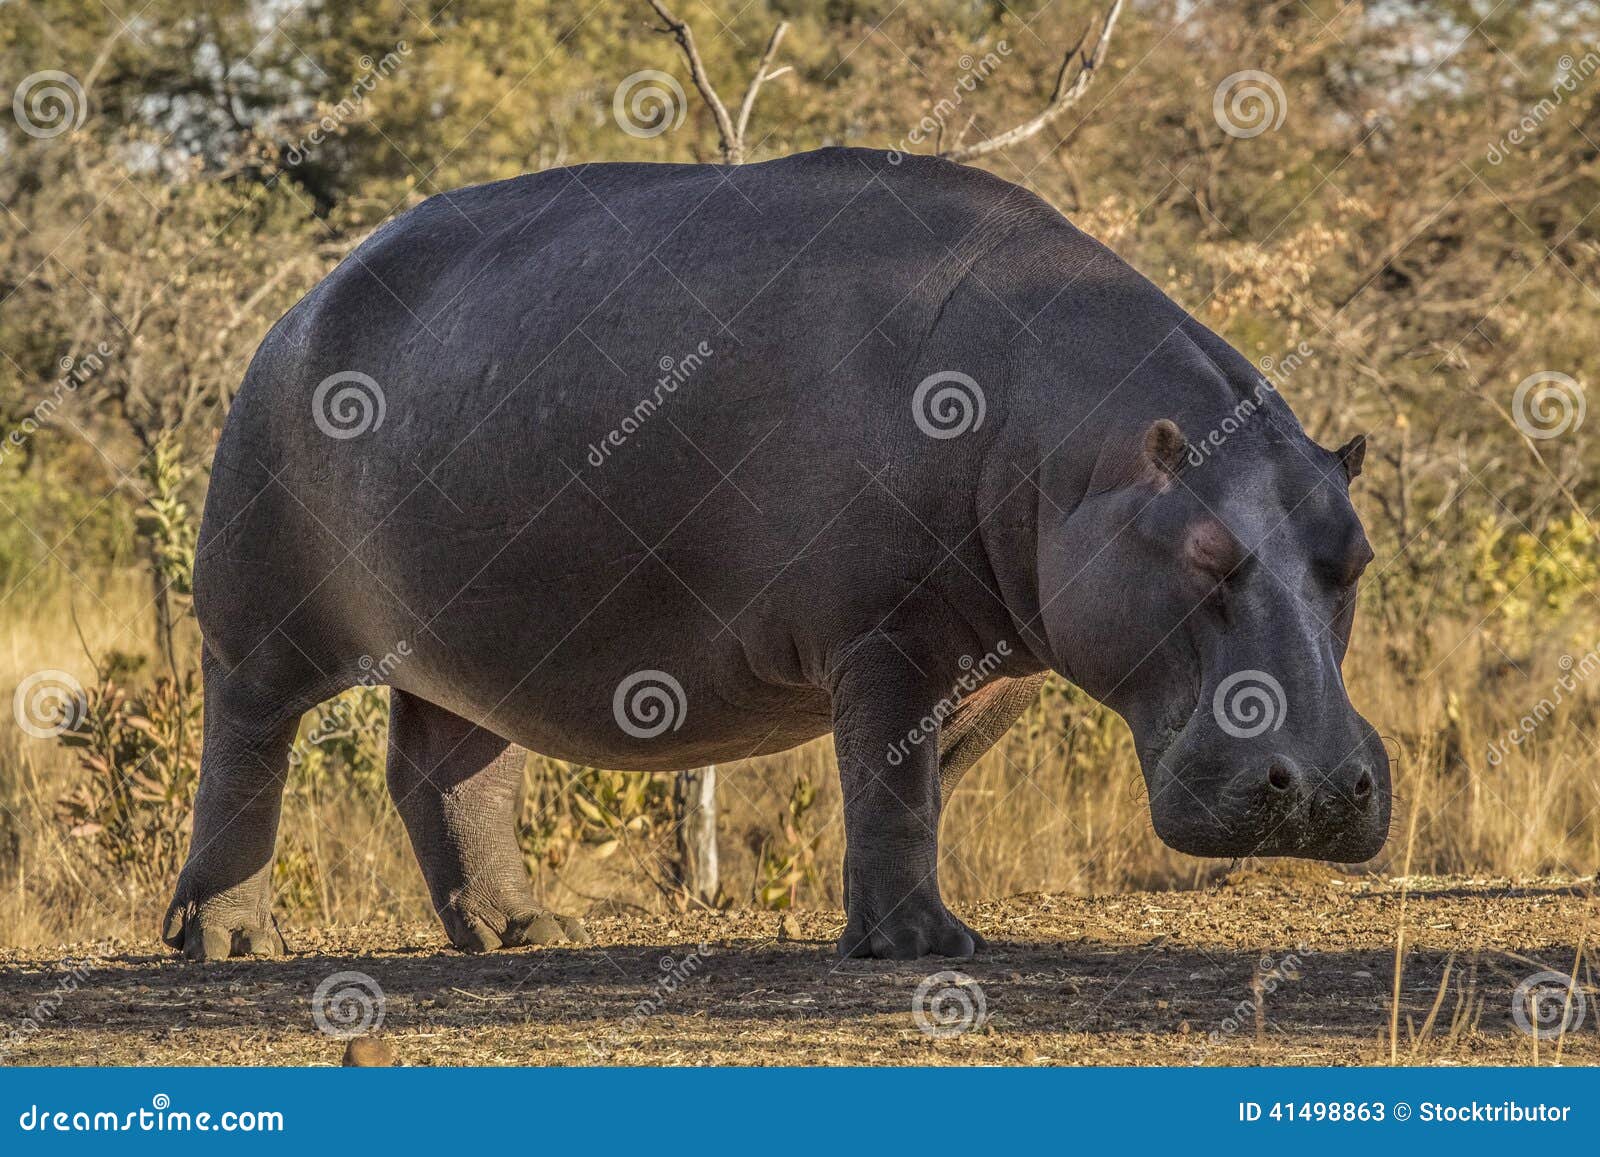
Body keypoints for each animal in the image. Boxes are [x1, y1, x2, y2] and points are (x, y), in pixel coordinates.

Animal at [163, 146, 1388, 962]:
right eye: (1205, 554)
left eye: (1356, 557)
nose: (1327, 787)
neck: (1068, 440)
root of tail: (301, 303)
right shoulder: (887, 632)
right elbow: (889, 780)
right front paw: (925, 947)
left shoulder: (991, 660)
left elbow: (911, 787)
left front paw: (884, 924)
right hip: (260, 626)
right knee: (247, 753)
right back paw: (226, 941)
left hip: (474, 641)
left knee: (447, 770)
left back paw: (526, 931)